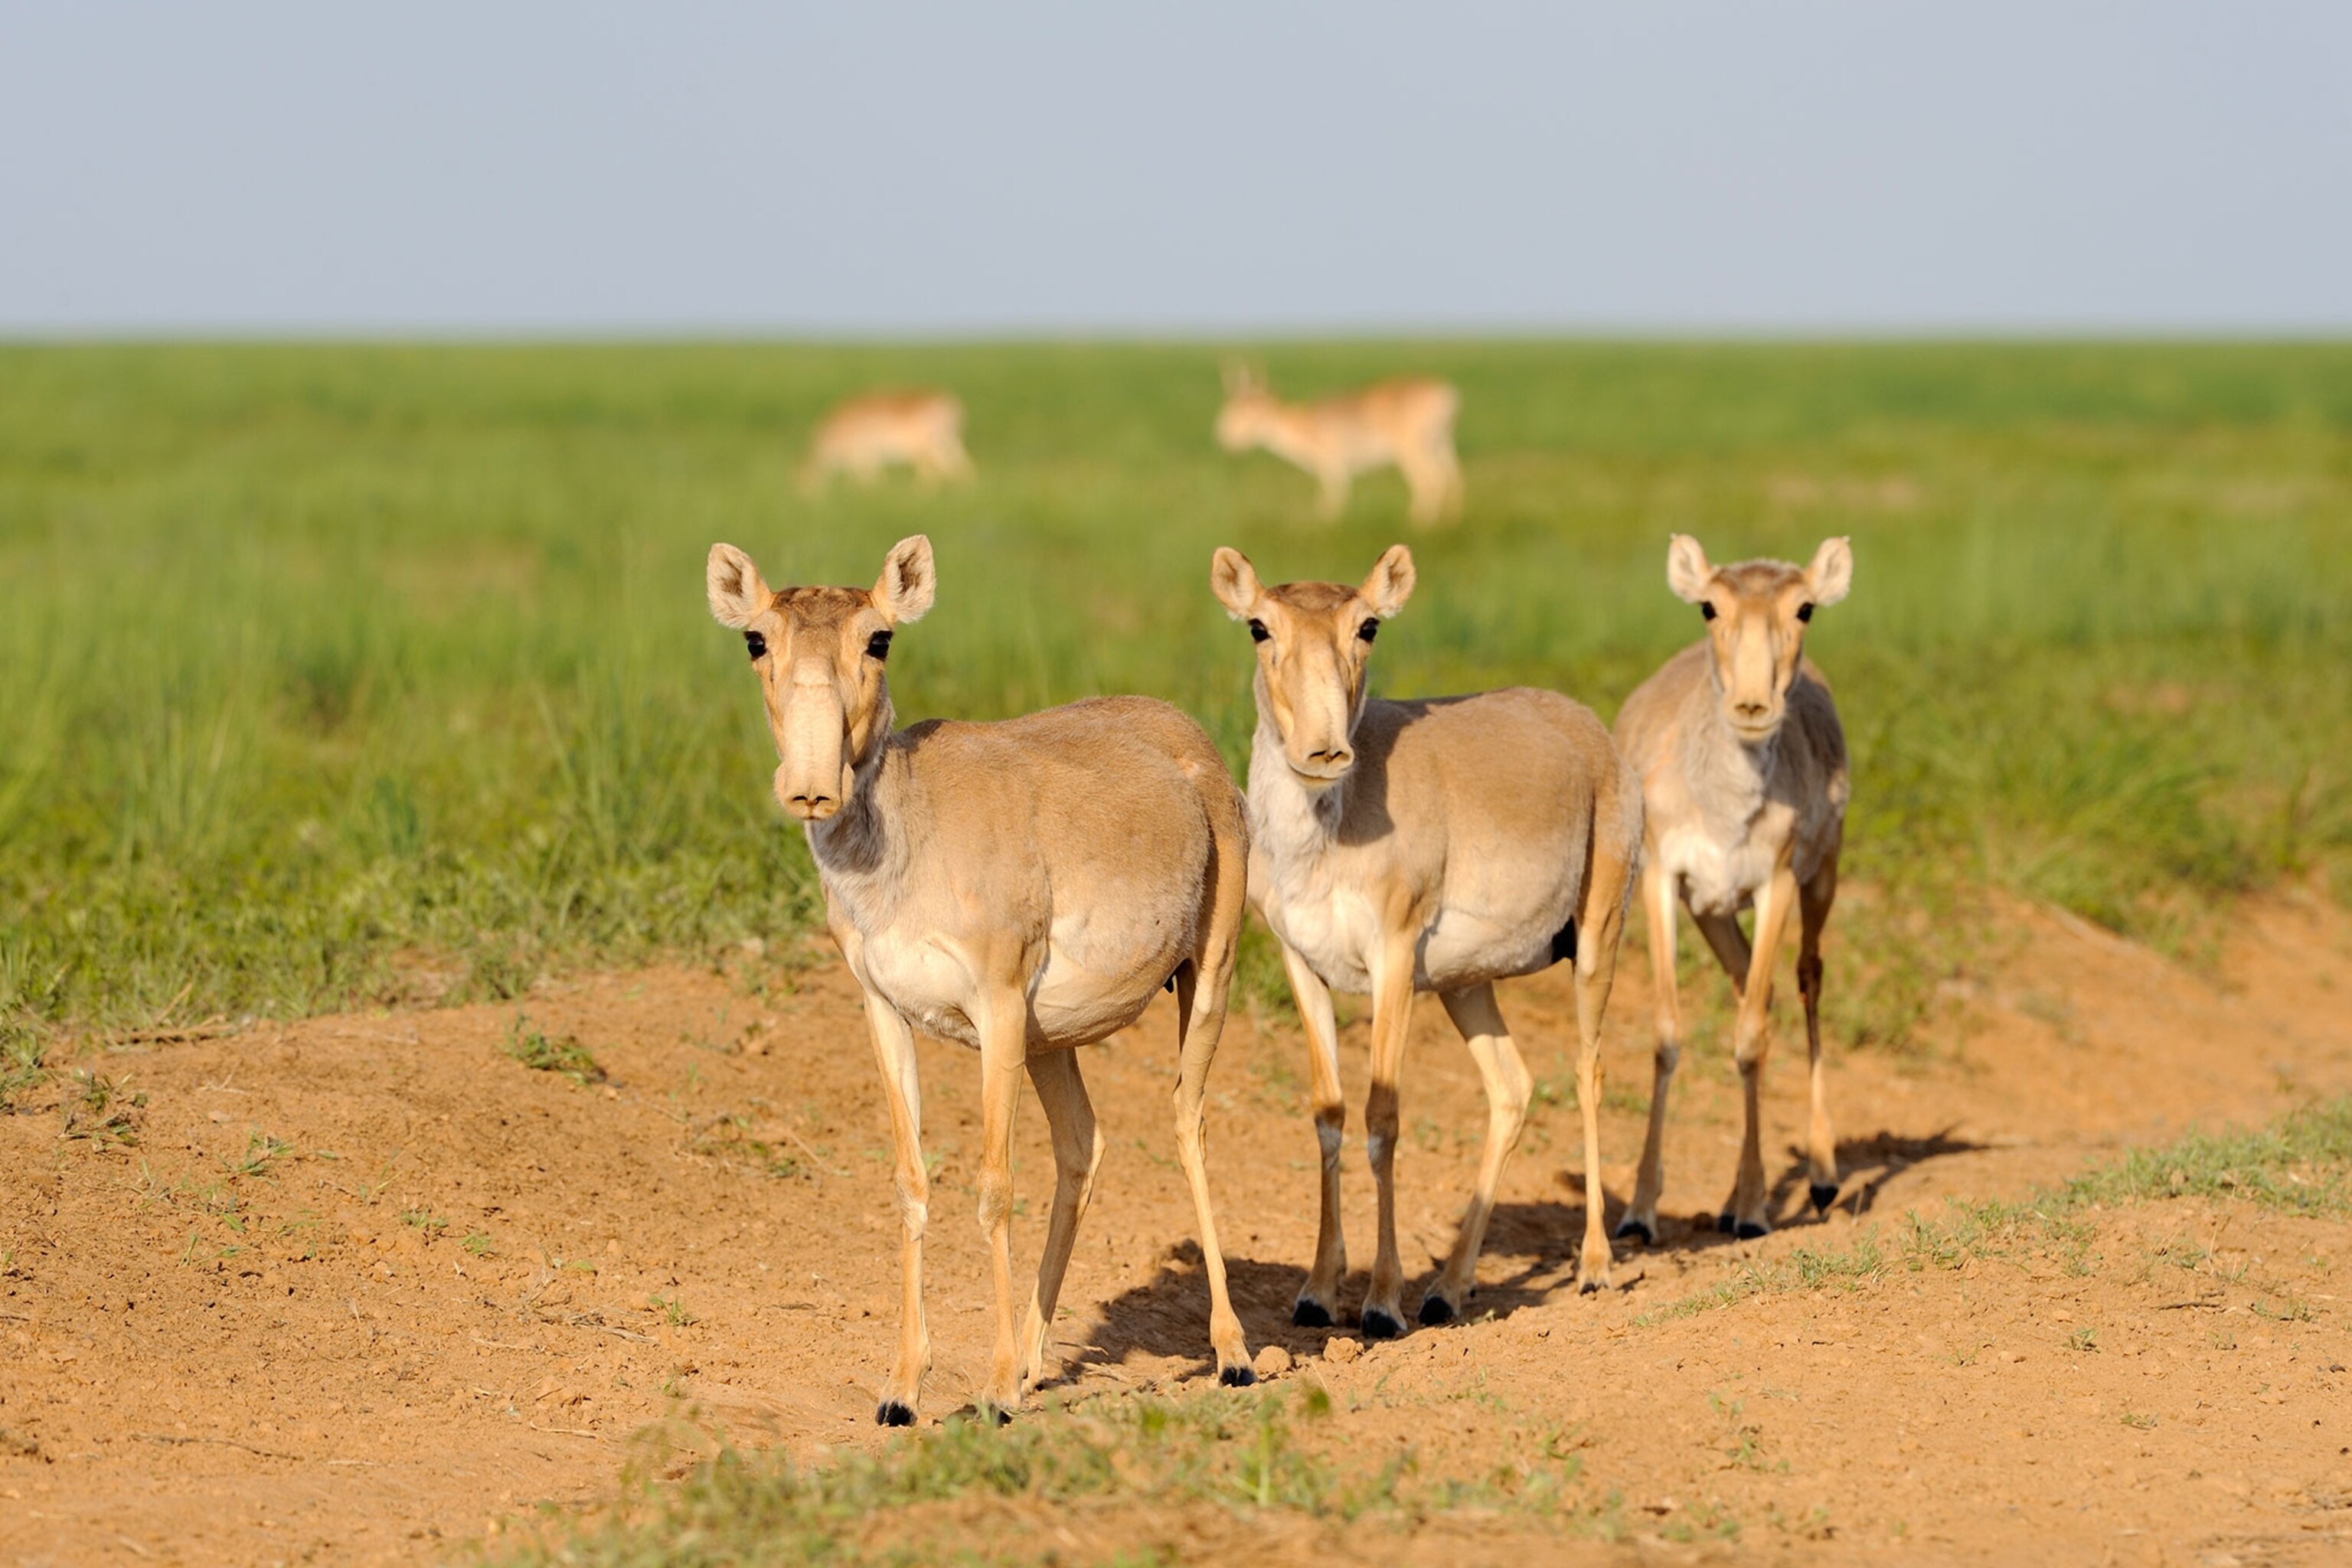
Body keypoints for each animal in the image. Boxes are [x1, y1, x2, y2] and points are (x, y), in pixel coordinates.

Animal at [706, 535, 1256, 1421]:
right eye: (757, 638)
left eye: (879, 638)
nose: (812, 785)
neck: (908, 836)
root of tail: (1189, 740)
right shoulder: (885, 1010)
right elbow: (911, 1180)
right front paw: (902, 1389)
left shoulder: (996, 1006)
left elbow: (995, 1185)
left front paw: (994, 1391)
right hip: (1053, 1043)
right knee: (1083, 1144)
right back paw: (1034, 1360)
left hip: (1207, 978)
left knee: (1187, 1123)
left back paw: (1231, 1354)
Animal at [800, 389, 973, 489]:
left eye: (798, 482)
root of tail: (950, 404)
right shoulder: (866, 455)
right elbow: (870, 476)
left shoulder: (860, 454)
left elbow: (866, 477)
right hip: (945, 441)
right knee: (958, 464)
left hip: (920, 446)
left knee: (933, 470)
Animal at [1211, 544, 1642, 1335]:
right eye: (1259, 625)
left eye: (1368, 625)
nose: (1324, 752)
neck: (1329, 832)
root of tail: (1588, 729)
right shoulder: (1302, 963)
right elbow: (1329, 1112)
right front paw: (1317, 1293)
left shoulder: (1392, 961)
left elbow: (1383, 1117)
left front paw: (1382, 1303)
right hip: (1465, 986)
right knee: (1512, 1088)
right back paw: (1448, 1287)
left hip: (1598, 937)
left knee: (1588, 1072)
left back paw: (1595, 1265)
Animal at [1216, 364, 1462, 525]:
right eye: (1230, 409)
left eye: (1242, 412)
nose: (1223, 437)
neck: (1302, 424)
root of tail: (1446, 395)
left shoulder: (1331, 463)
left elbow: (1334, 497)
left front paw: (1328, 523)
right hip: (1441, 442)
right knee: (1453, 476)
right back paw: (1451, 520)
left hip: (1412, 448)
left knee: (1429, 480)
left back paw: (1419, 524)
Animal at [1611, 536, 1853, 1243]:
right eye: (1708, 607)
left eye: (1805, 607)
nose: (1751, 706)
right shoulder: (1664, 881)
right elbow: (1667, 1034)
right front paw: (1639, 1211)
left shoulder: (1777, 882)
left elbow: (1750, 1039)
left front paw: (1751, 1209)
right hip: (1714, 915)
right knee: (1756, 985)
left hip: (1822, 878)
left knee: (1805, 978)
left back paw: (1820, 1175)